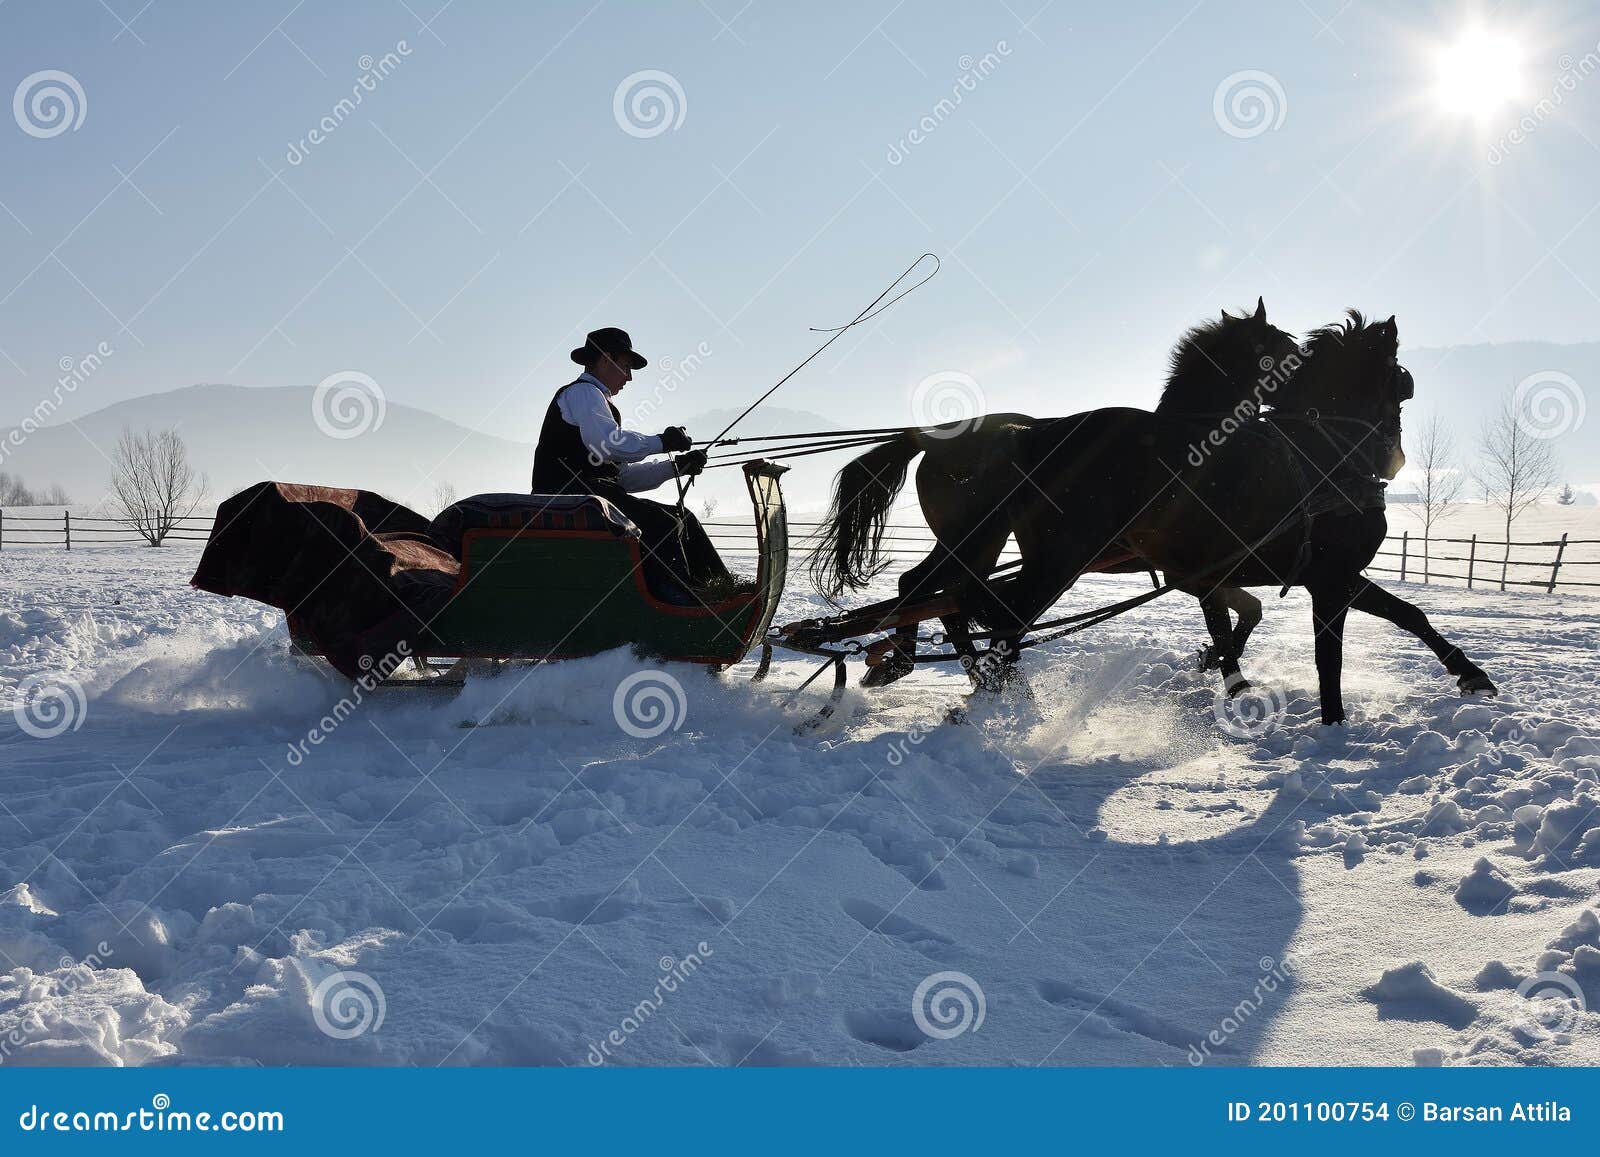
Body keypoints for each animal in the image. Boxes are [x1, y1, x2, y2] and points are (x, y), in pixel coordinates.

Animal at [816, 311, 1497, 725]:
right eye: (1398, 377)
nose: (1397, 456)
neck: (1323, 451)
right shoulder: (1323, 578)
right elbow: (1324, 652)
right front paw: (1324, 722)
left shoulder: (1254, 573)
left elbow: (1402, 614)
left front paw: (1471, 676)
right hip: (1040, 553)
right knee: (987, 608)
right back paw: (986, 687)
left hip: (991, 544)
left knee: (943, 594)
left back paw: (946, 671)